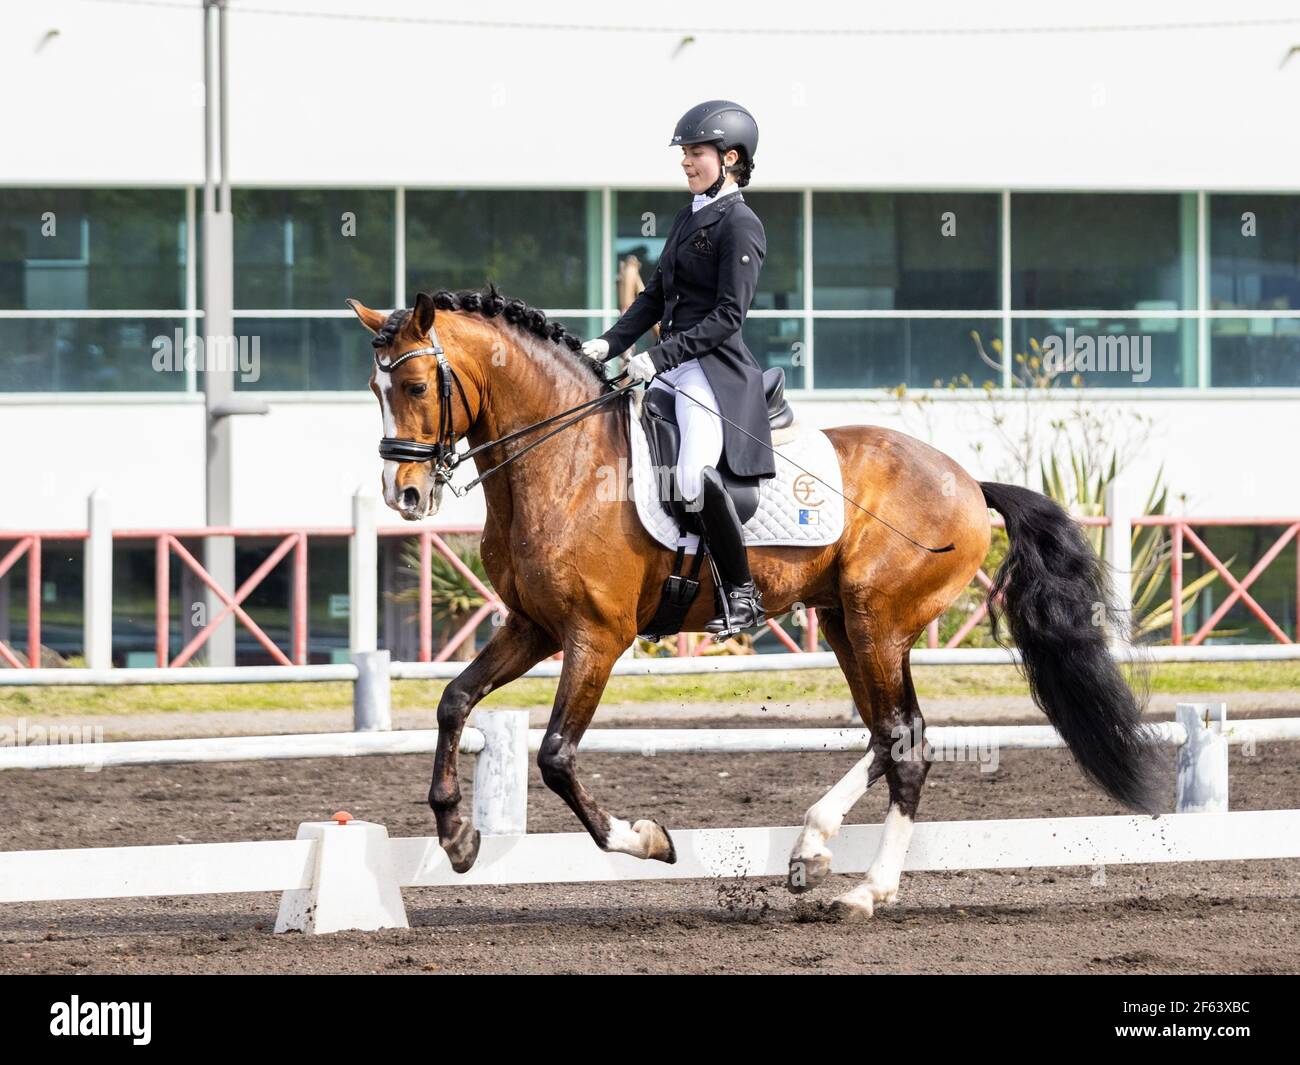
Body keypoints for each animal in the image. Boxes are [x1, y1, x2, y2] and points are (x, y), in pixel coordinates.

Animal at [347, 285, 1161, 920]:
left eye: (415, 388)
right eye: (375, 391)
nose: (404, 495)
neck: (565, 460)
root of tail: (965, 478)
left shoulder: (596, 636)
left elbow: (554, 755)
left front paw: (646, 839)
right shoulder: (533, 627)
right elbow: (454, 701)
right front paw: (456, 836)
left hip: (880, 620)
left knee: (906, 738)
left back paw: (866, 890)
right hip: (845, 622)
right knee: (890, 732)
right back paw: (813, 849)